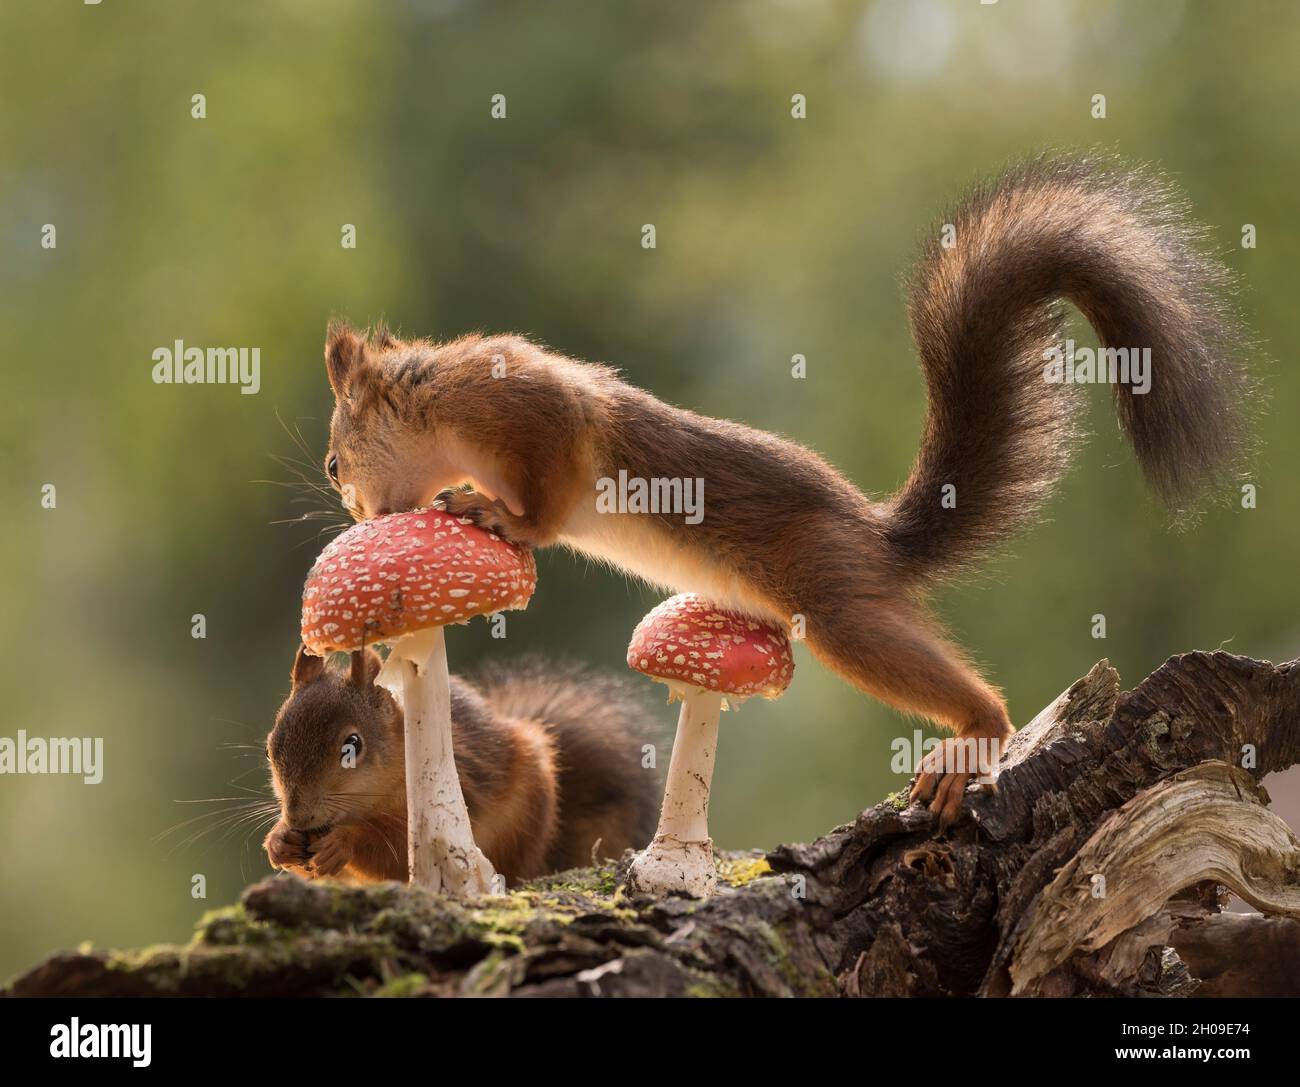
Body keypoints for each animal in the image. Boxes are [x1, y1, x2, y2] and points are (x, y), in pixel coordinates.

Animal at [263, 646, 660, 884]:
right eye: (270, 746)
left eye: (353, 745)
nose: (297, 816)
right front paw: (279, 841)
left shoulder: (461, 787)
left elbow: (395, 847)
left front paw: (344, 842)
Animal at [315, 156, 1250, 827]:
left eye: (331, 464)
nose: (356, 513)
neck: (440, 398)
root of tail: (877, 539)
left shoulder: (539, 418)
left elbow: (545, 502)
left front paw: (488, 510)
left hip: (836, 606)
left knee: (956, 686)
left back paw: (974, 737)